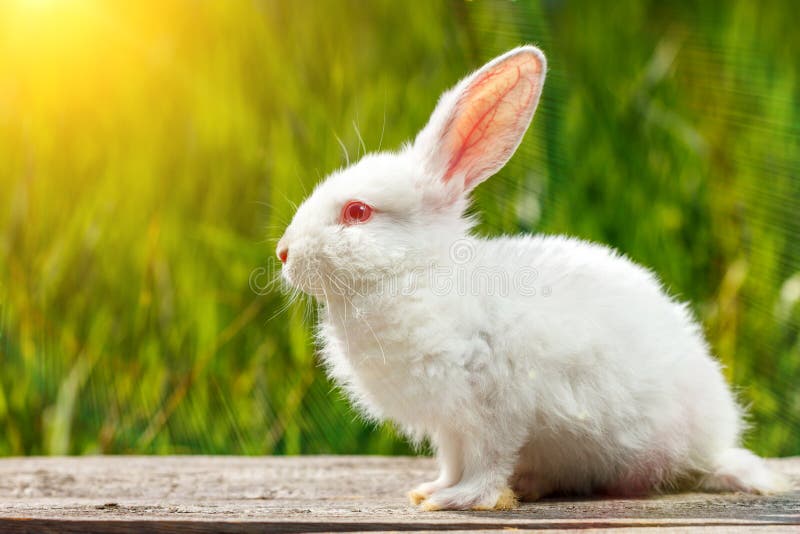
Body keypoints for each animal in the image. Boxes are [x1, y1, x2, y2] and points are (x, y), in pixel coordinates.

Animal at [275, 45, 788, 511]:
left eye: (357, 212)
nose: (283, 253)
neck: (417, 275)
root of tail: (713, 446)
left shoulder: (491, 409)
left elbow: (486, 460)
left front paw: (461, 500)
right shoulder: (450, 424)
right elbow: (453, 460)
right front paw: (431, 490)